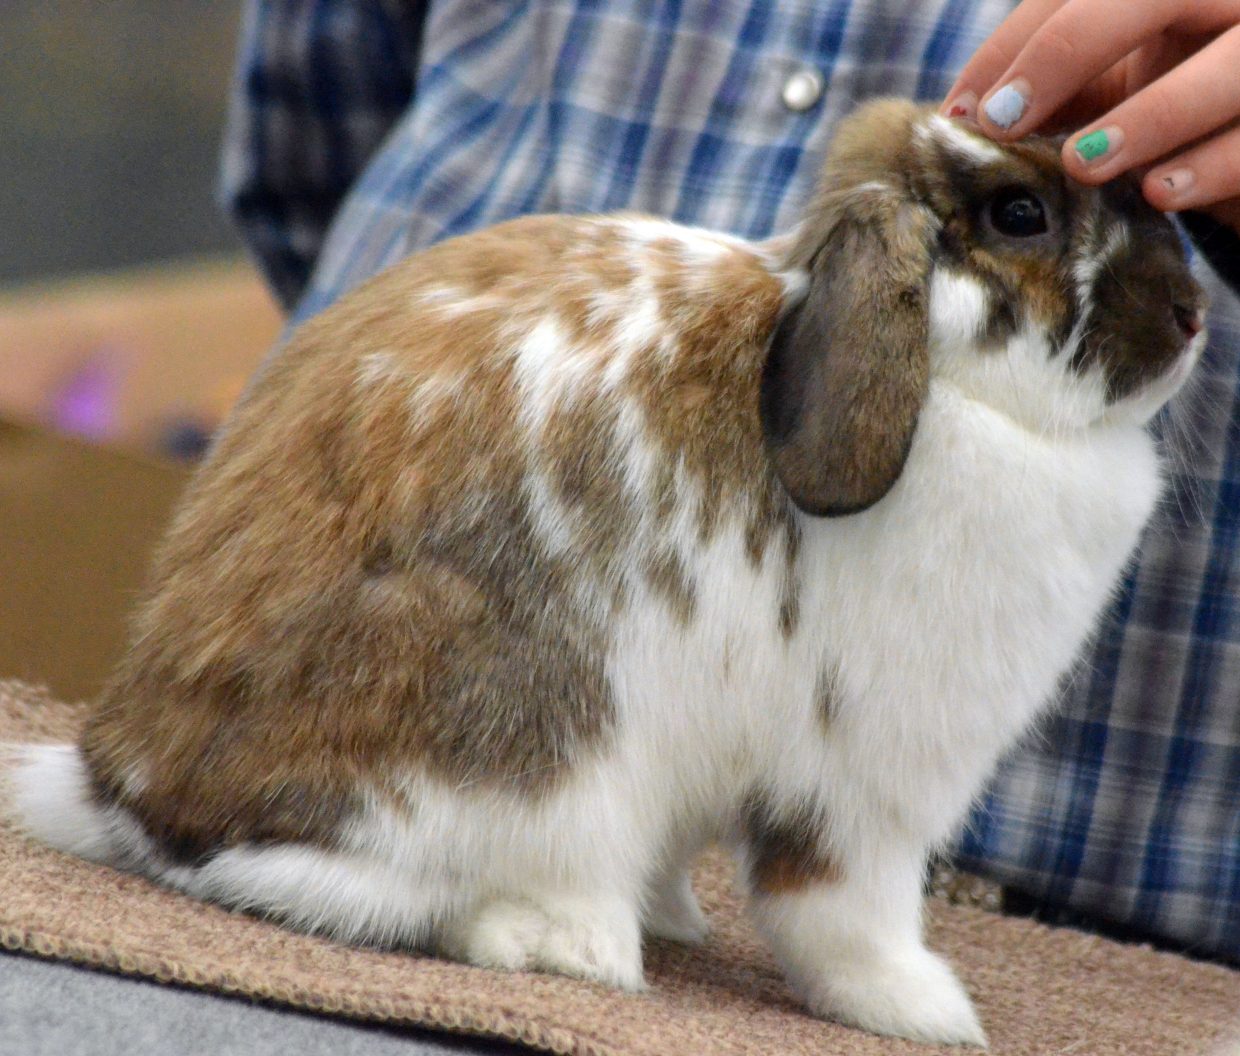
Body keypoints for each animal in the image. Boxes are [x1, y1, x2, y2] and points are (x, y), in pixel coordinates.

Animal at [8, 97, 1208, 1048]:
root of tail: (130, 793)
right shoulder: (867, 783)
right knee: (351, 889)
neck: (946, 385)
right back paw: (569, 945)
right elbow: (840, 908)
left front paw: (686, 907)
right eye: (1021, 216)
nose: (1194, 314)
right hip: (537, 747)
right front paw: (925, 1012)